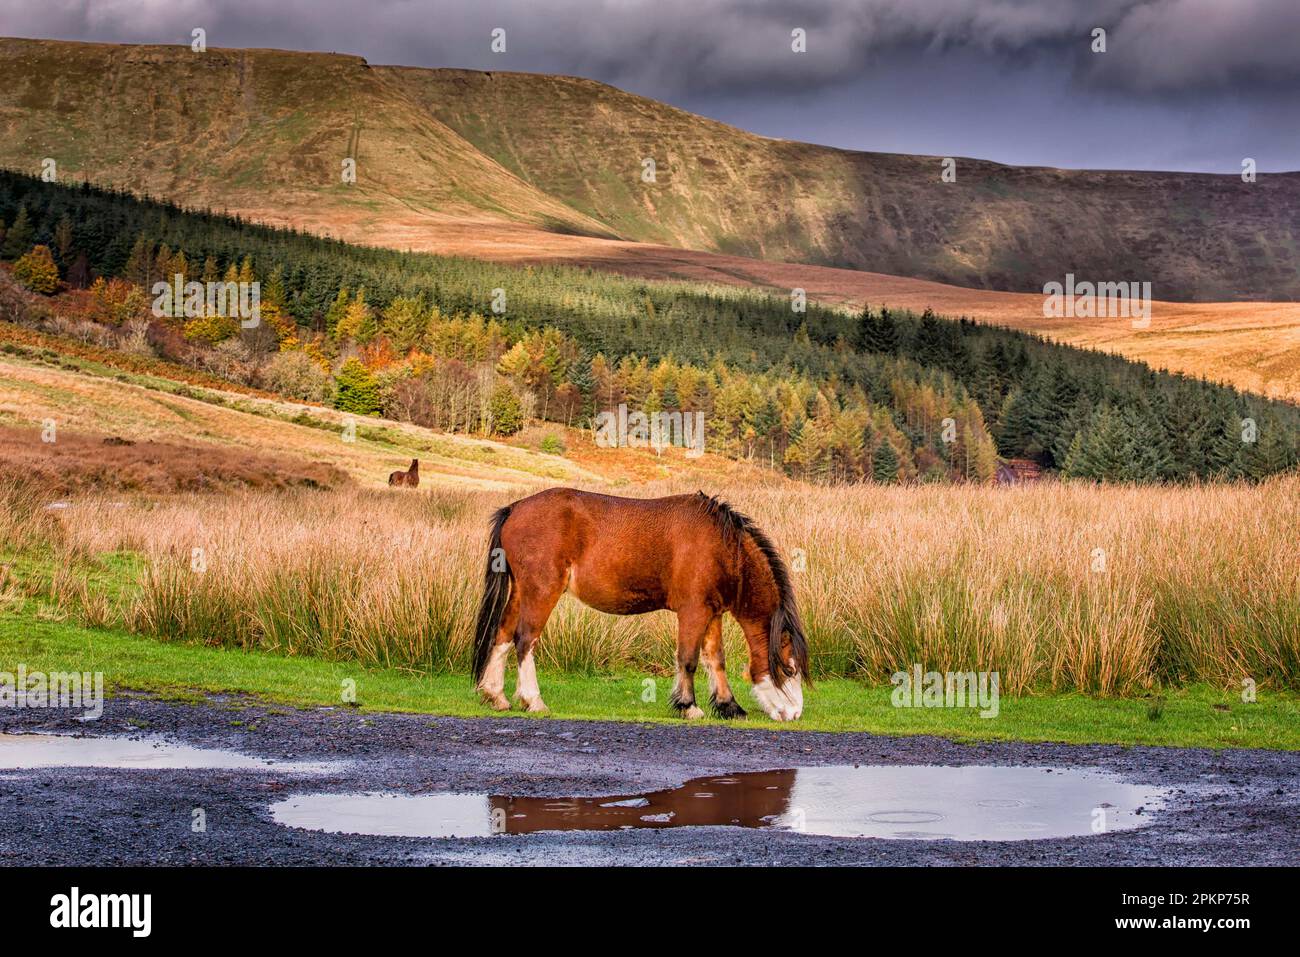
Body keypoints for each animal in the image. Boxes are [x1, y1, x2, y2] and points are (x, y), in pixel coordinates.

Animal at [471, 488, 810, 721]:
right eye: (789, 669)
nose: (794, 714)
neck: (722, 545)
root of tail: (515, 508)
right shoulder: (693, 612)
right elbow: (688, 659)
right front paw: (688, 706)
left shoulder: (712, 613)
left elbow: (716, 659)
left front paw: (729, 706)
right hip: (542, 591)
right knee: (525, 640)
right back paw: (533, 700)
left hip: (521, 591)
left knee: (502, 635)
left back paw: (495, 695)